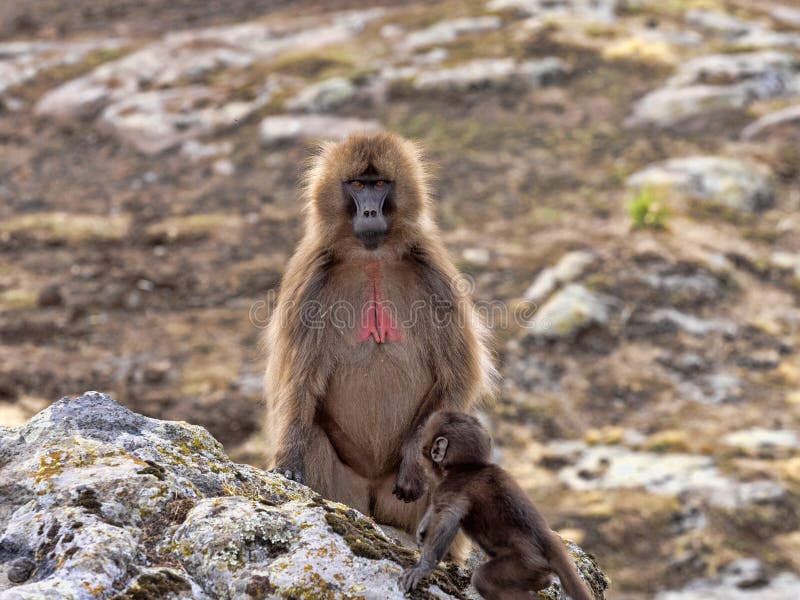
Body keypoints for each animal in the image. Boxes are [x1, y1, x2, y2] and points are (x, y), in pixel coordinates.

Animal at [263, 132, 496, 539]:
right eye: (358, 185)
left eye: (381, 184)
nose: (370, 214)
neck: (371, 257)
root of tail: (372, 498)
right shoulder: (310, 282)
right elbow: (296, 382)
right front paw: (288, 463)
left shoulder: (434, 275)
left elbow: (459, 376)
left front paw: (413, 464)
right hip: (344, 490)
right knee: (312, 431)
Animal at [401, 410, 595, 600]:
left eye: (423, 431)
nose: (417, 431)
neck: (466, 468)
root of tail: (548, 539)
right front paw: (423, 528)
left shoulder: (453, 487)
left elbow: (449, 518)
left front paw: (423, 567)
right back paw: (544, 582)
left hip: (526, 564)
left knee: (483, 580)